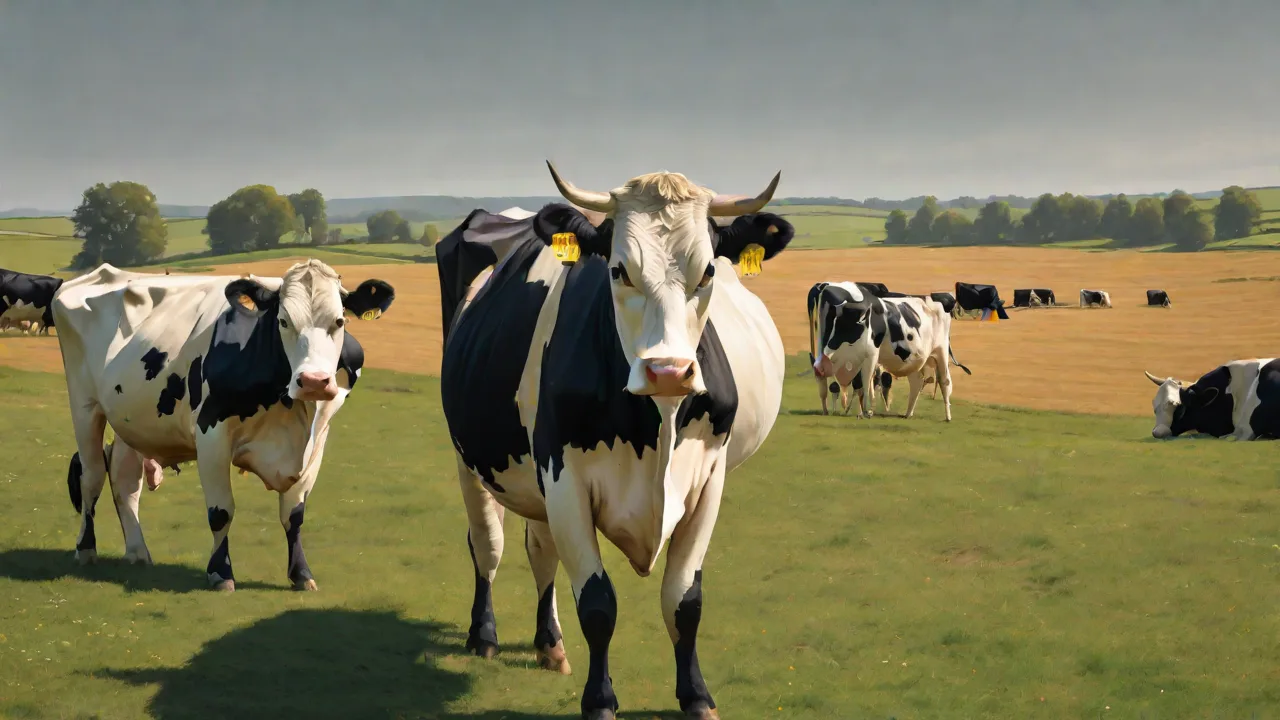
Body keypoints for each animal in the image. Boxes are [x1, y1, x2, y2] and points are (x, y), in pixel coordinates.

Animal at [52, 260, 395, 591]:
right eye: (283, 321)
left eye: (339, 322)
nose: (313, 381)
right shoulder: (211, 435)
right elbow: (221, 511)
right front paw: (220, 573)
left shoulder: (316, 440)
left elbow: (294, 515)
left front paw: (301, 574)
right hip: (84, 405)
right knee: (92, 476)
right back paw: (86, 549)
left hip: (133, 419)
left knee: (124, 482)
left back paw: (137, 553)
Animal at [438, 163, 792, 719]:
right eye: (619, 270)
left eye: (709, 272)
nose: (668, 370)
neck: (655, 426)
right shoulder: (564, 481)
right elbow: (598, 604)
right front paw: (600, 700)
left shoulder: (707, 483)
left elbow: (684, 600)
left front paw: (696, 694)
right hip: (468, 457)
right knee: (487, 544)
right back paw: (485, 633)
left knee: (539, 549)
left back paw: (550, 643)